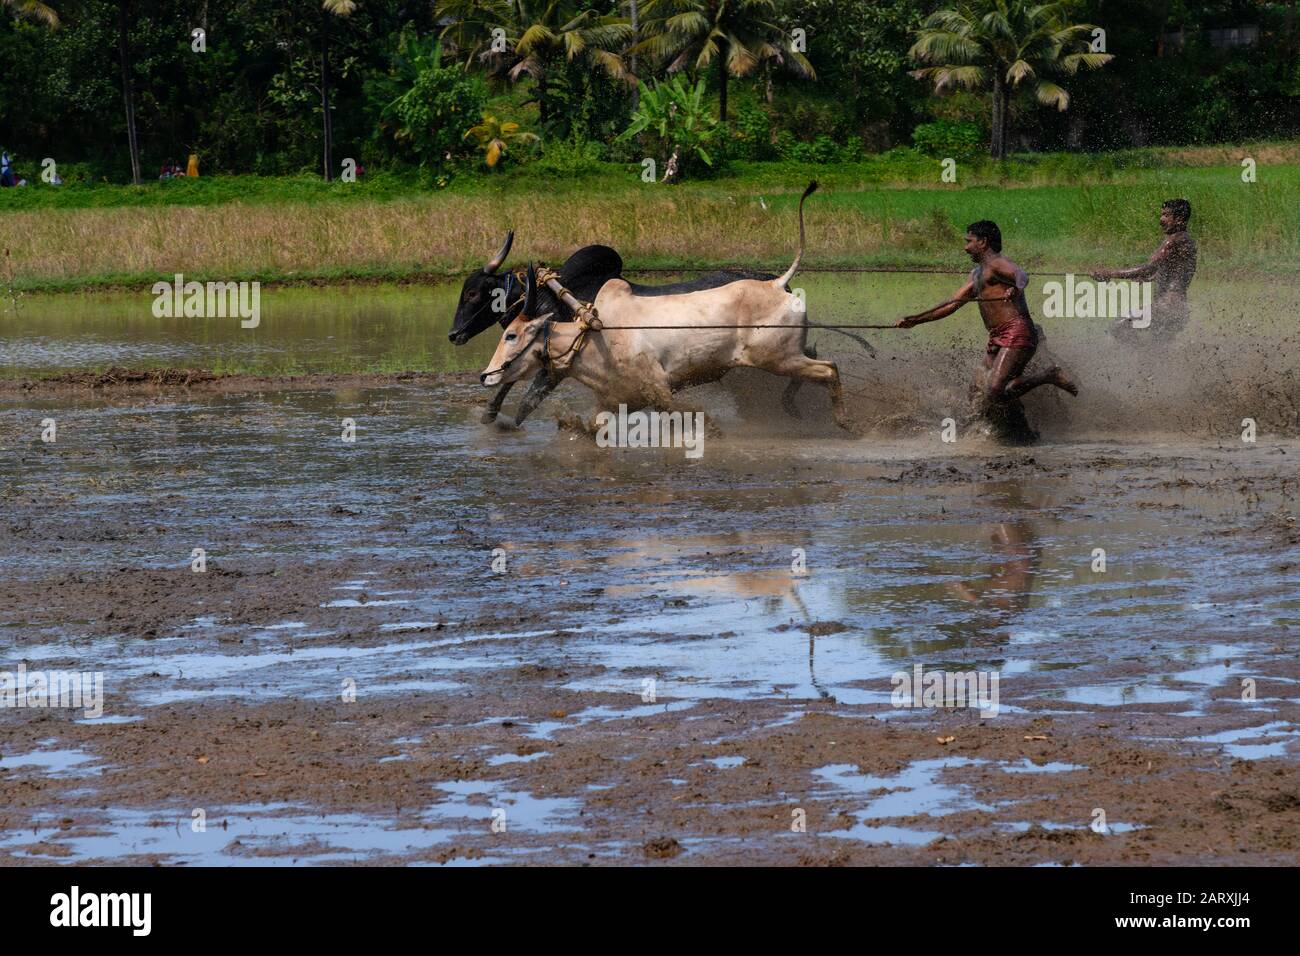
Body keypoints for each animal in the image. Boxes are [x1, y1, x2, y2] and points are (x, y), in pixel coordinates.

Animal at [480, 182, 858, 435]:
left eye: (512, 335)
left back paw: (844, 421)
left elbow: (700, 419)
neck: (592, 337)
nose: (486, 375)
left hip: (778, 358)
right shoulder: (612, 402)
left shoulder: (662, 391)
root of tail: (777, 284)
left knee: (829, 369)